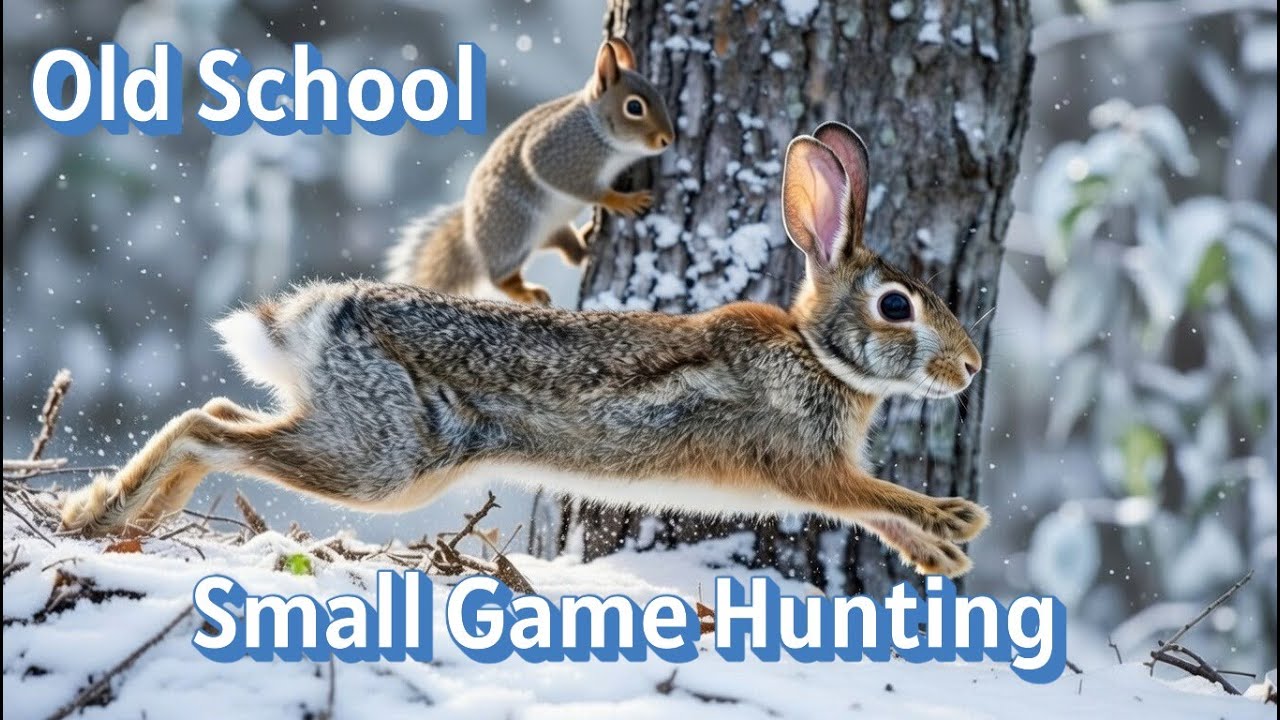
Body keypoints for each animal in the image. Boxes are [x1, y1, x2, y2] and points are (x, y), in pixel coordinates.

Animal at [61, 122, 988, 577]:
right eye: (897, 306)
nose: (971, 367)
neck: (818, 351)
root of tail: (318, 316)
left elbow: (872, 509)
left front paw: (939, 556)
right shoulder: (802, 463)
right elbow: (868, 496)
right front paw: (952, 523)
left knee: (216, 412)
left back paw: (123, 517)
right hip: (383, 463)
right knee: (206, 430)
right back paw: (97, 513)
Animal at [386, 37, 675, 305]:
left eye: (662, 97)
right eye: (634, 107)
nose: (668, 139)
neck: (598, 131)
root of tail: (473, 239)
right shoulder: (557, 153)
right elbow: (581, 185)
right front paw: (622, 200)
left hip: (552, 229)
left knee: (572, 254)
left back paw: (585, 237)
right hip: (515, 231)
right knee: (500, 277)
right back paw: (527, 293)